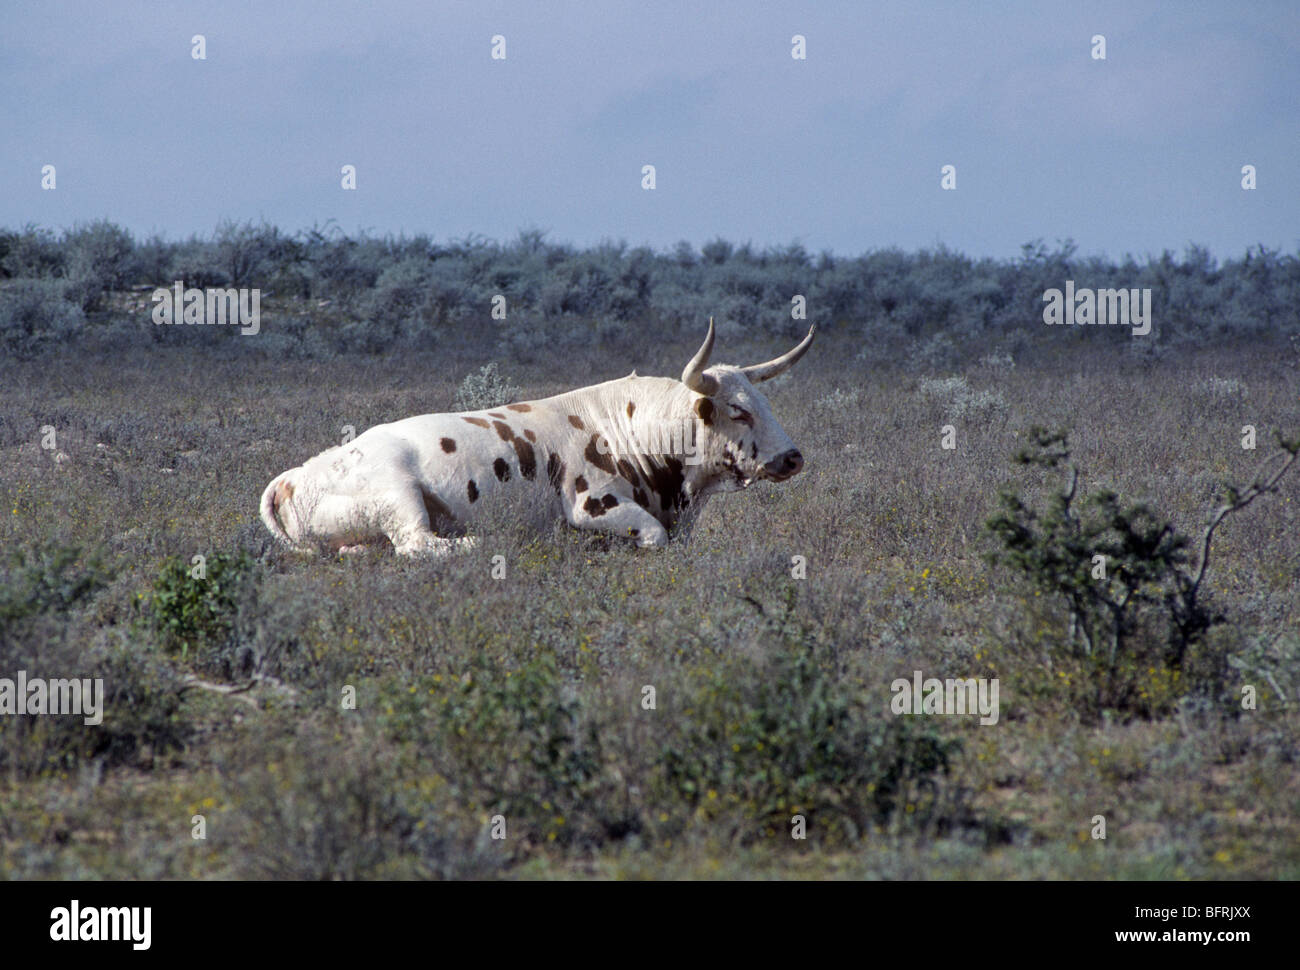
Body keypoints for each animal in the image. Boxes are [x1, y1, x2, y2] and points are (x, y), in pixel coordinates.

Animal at [259, 319, 815, 556]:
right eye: (738, 410)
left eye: (765, 404)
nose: (792, 458)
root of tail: (291, 477)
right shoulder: (596, 506)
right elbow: (653, 537)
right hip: (399, 495)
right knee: (418, 546)